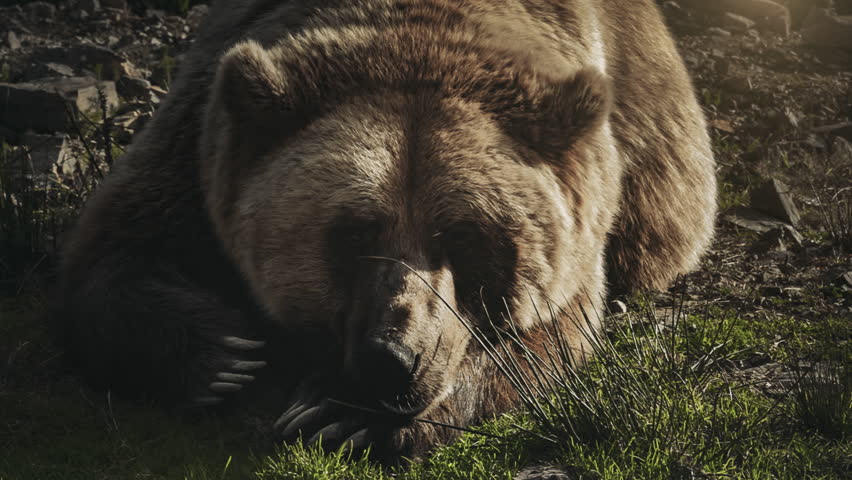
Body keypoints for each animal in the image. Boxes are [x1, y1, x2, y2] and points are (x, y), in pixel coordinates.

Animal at [52, 0, 717, 460]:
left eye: (463, 235)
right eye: (353, 233)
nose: (393, 359)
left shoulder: (577, 230)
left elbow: (543, 338)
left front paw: (341, 414)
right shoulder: (198, 138)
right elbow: (116, 248)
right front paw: (225, 357)